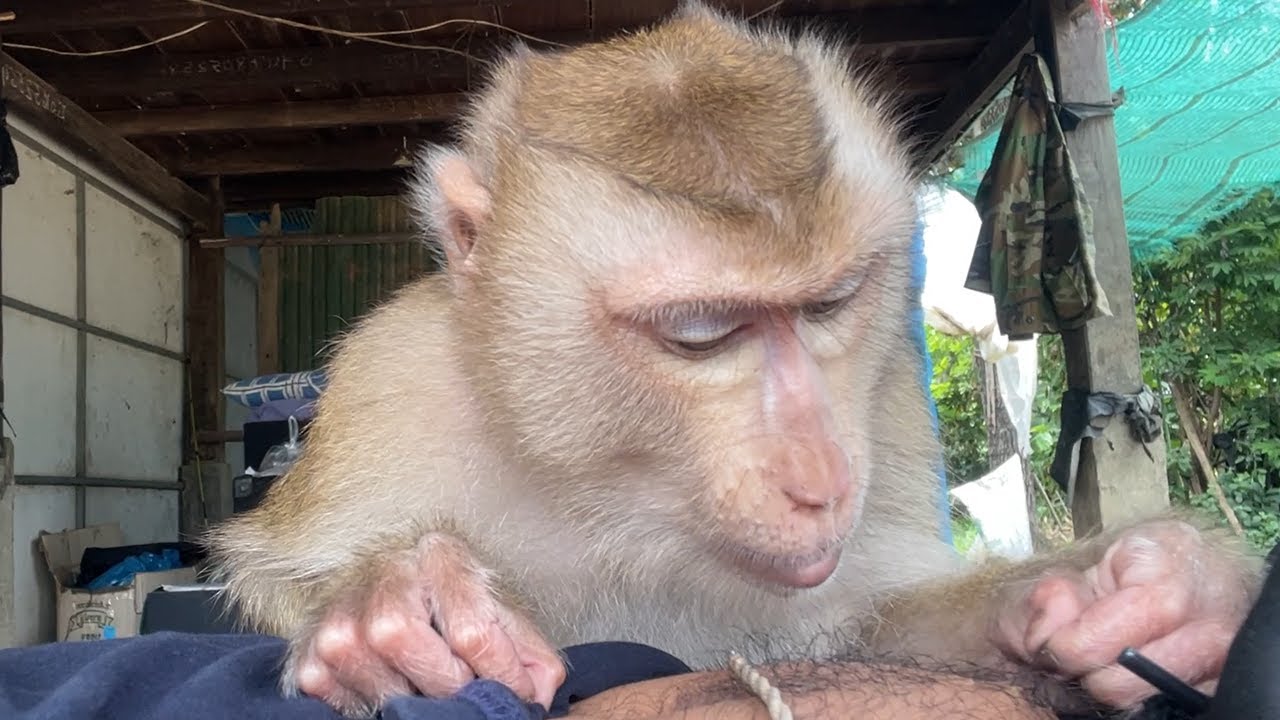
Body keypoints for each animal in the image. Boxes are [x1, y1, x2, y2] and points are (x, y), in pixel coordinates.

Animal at [203, 3, 1262, 718]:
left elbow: (866, 622)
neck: (622, 487)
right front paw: (380, 618)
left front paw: (1148, 598)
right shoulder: (392, 382)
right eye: (700, 331)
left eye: (828, 303)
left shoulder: (884, 401)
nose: (821, 479)